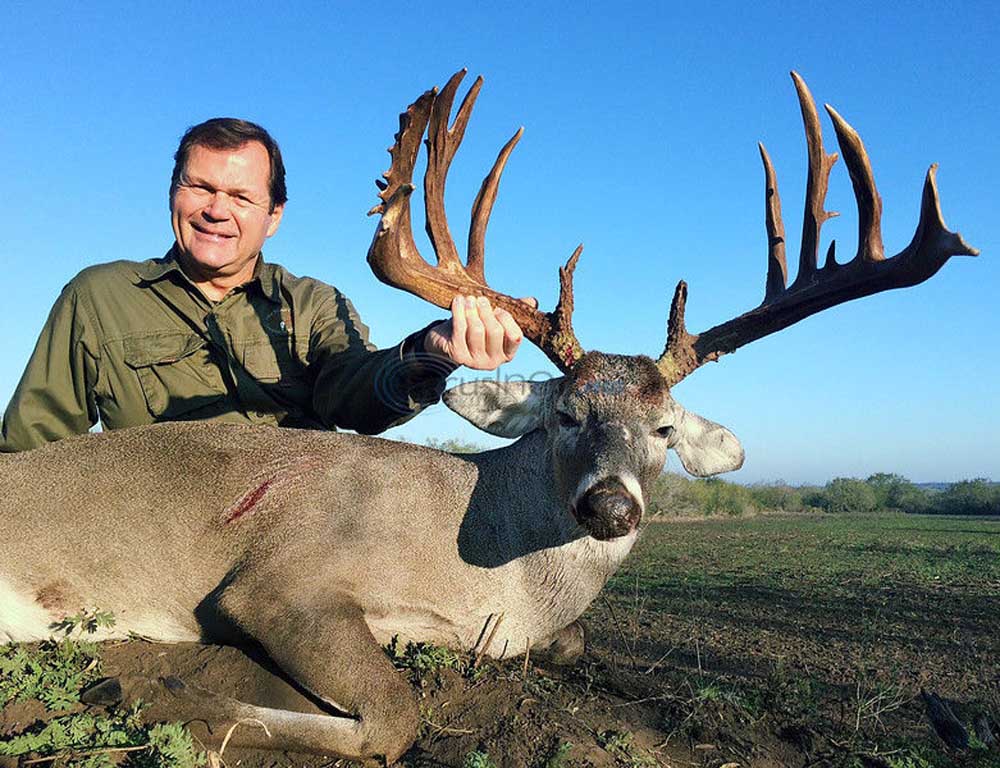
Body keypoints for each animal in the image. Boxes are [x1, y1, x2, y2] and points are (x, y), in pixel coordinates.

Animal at [0, 70, 978, 763]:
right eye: (567, 414)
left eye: (665, 431)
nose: (609, 504)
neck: (495, 586)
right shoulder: (276, 582)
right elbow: (393, 717)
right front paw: (154, 693)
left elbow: (568, 647)